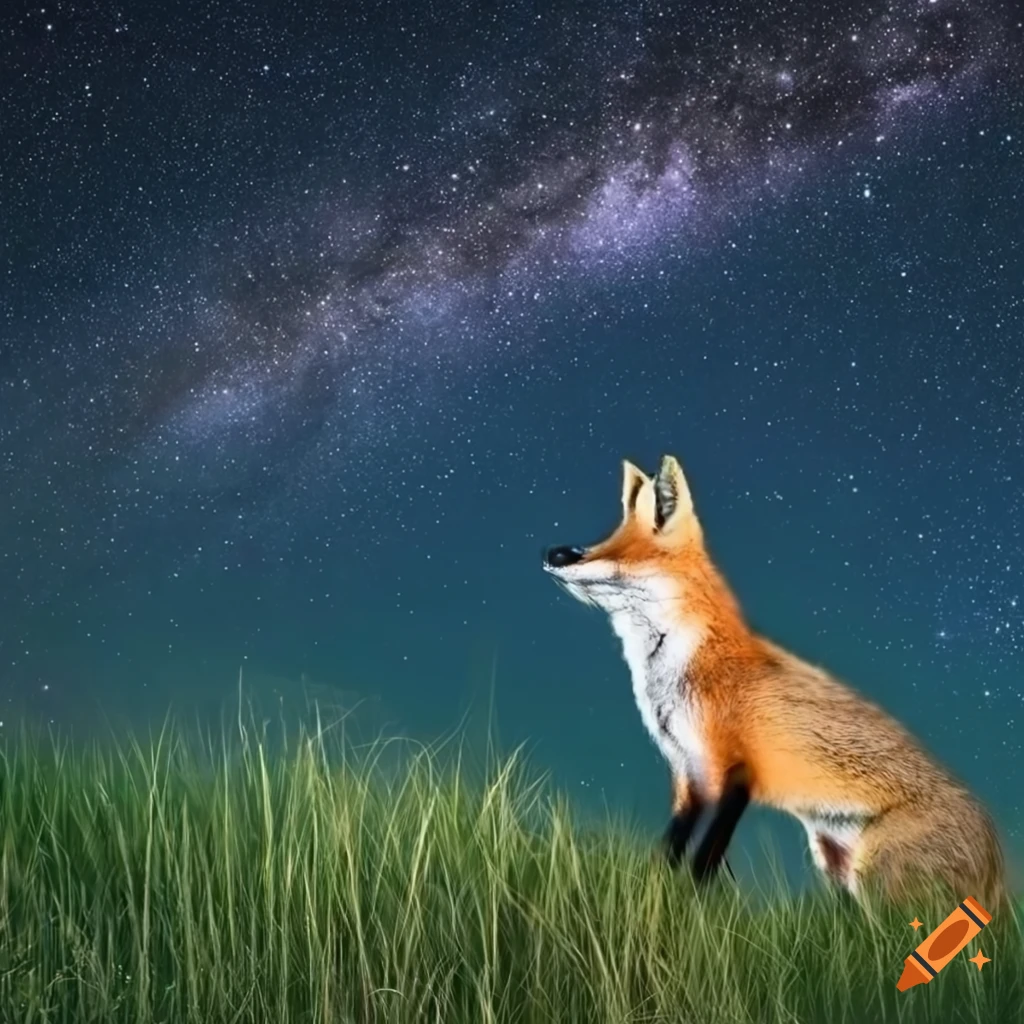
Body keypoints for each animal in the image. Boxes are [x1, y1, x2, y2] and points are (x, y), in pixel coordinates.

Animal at [542, 454, 1008, 910]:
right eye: (607, 537)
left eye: (619, 548)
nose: (554, 552)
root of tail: (997, 852)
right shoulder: (687, 772)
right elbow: (669, 852)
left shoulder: (736, 772)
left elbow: (704, 862)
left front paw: (691, 907)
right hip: (835, 864)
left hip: (874, 879)